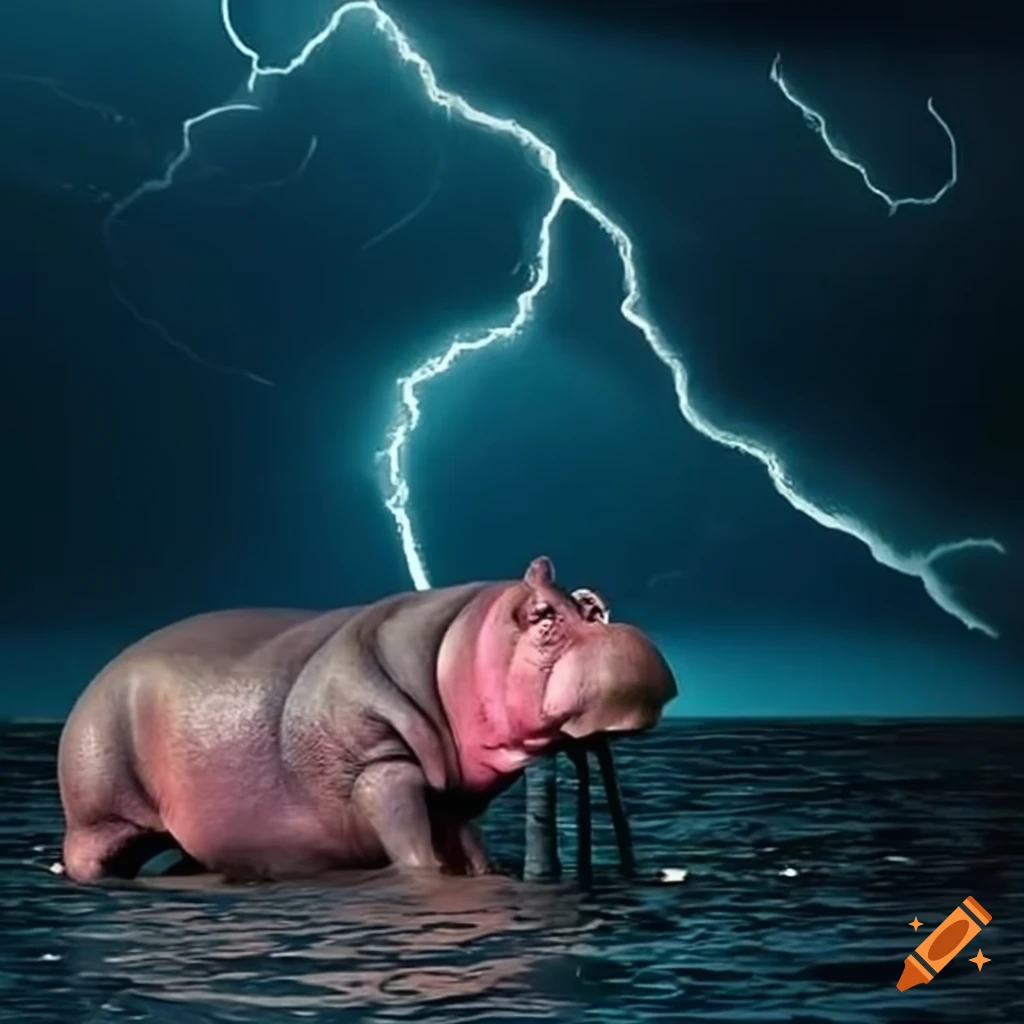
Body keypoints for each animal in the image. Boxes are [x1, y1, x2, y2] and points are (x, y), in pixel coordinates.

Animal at [58, 556, 676, 884]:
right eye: (544, 615)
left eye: (593, 606)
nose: (625, 637)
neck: (453, 647)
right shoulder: (379, 769)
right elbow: (416, 851)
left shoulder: (448, 797)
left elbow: (470, 851)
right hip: (99, 819)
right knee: (92, 857)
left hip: (199, 830)